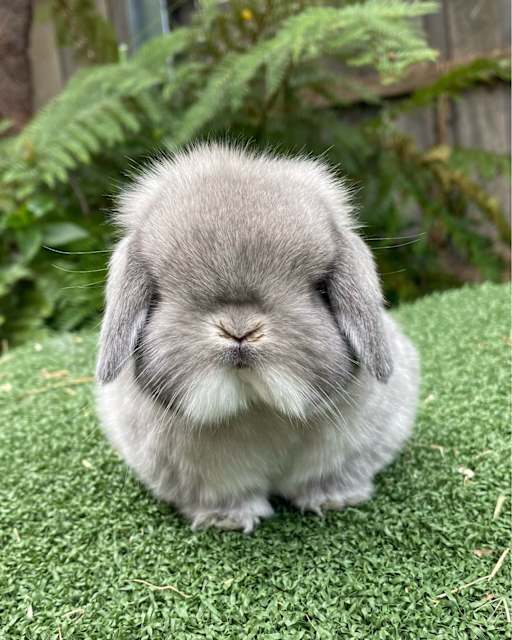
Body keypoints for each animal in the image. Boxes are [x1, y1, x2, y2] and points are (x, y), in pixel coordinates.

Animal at [96, 143, 420, 533]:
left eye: (320, 289)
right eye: (158, 293)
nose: (240, 331)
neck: (257, 408)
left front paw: (334, 501)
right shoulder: (211, 479)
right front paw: (228, 521)